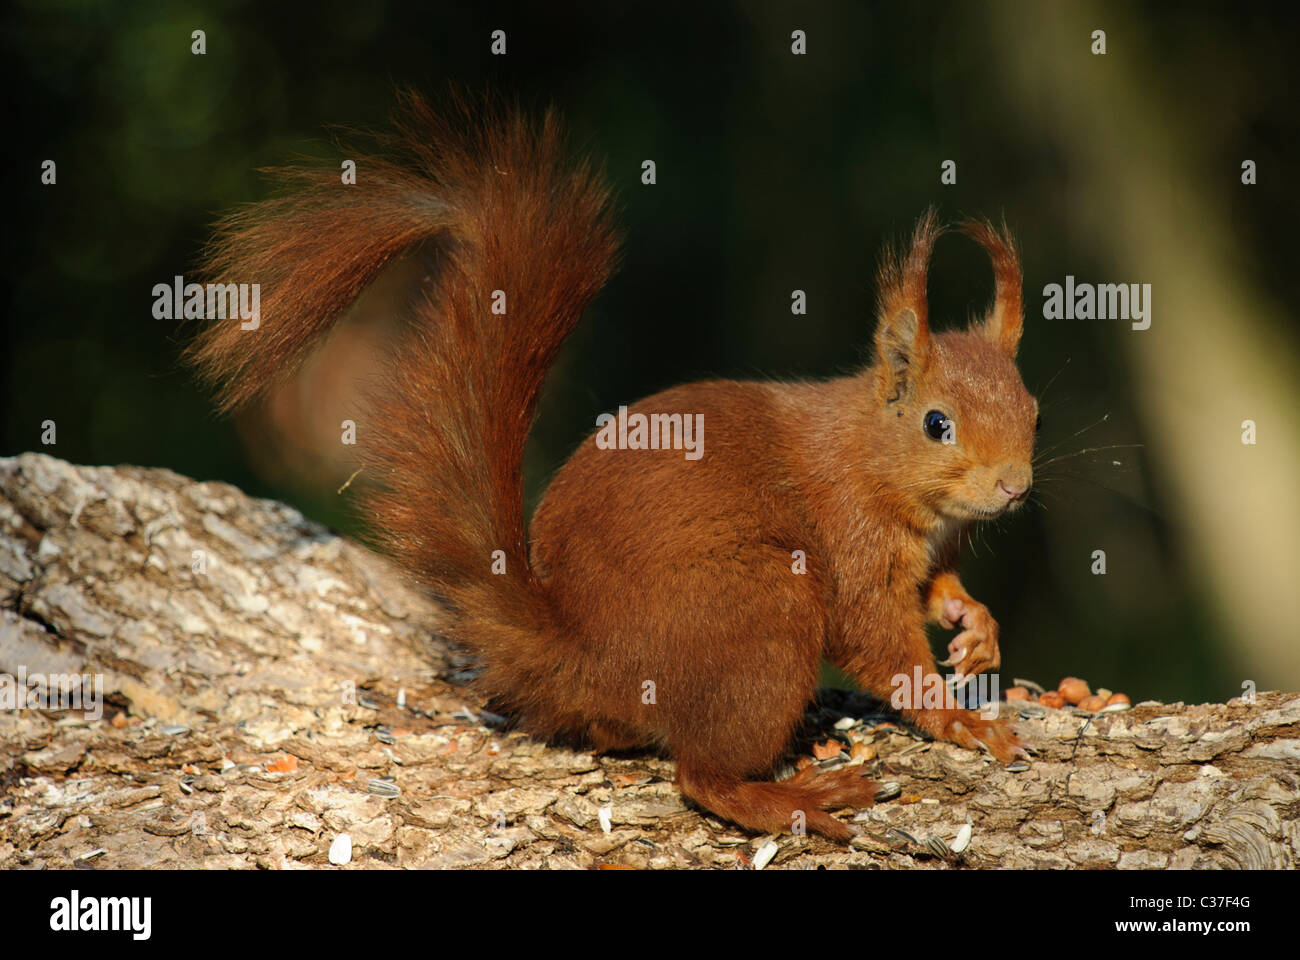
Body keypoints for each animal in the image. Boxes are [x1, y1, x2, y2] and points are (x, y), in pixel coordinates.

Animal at [187, 92, 1035, 842]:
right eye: (936, 424)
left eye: (1032, 407)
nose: (1014, 487)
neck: (876, 461)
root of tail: (579, 657)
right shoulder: (853, 540)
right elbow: (881, 643)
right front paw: (958, 716)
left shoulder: (933, 550)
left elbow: (942, 592)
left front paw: (978, 632)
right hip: (760, 610)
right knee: (701, 776)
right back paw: (793, 798)